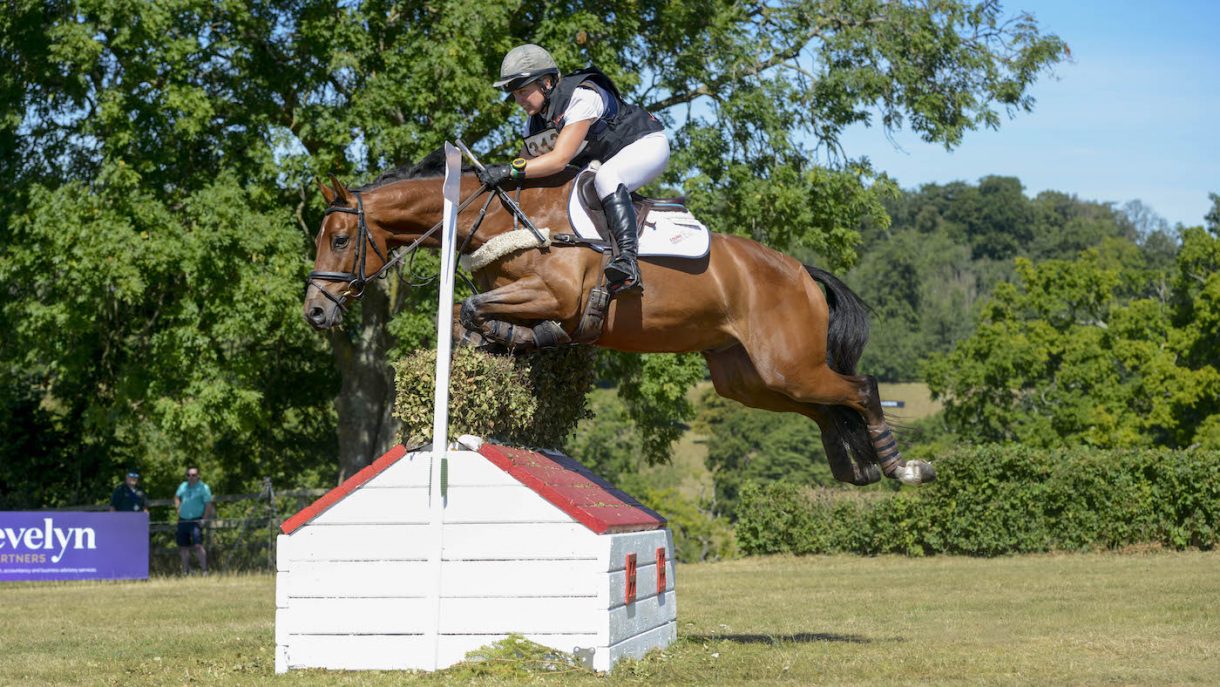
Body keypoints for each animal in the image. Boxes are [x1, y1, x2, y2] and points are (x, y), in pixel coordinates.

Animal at [303, 148, 934, 487]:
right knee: (826, 407)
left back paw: (902, 469)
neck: (500, 218)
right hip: (749, 379)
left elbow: (473, 309)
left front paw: (520, 335)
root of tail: (801, 271)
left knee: (861, 387)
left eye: (339, 239)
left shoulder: (553, 294)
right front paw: (511, 343)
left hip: (787, 365)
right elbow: (470, 317)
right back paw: (857, 469)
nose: (314, 310)